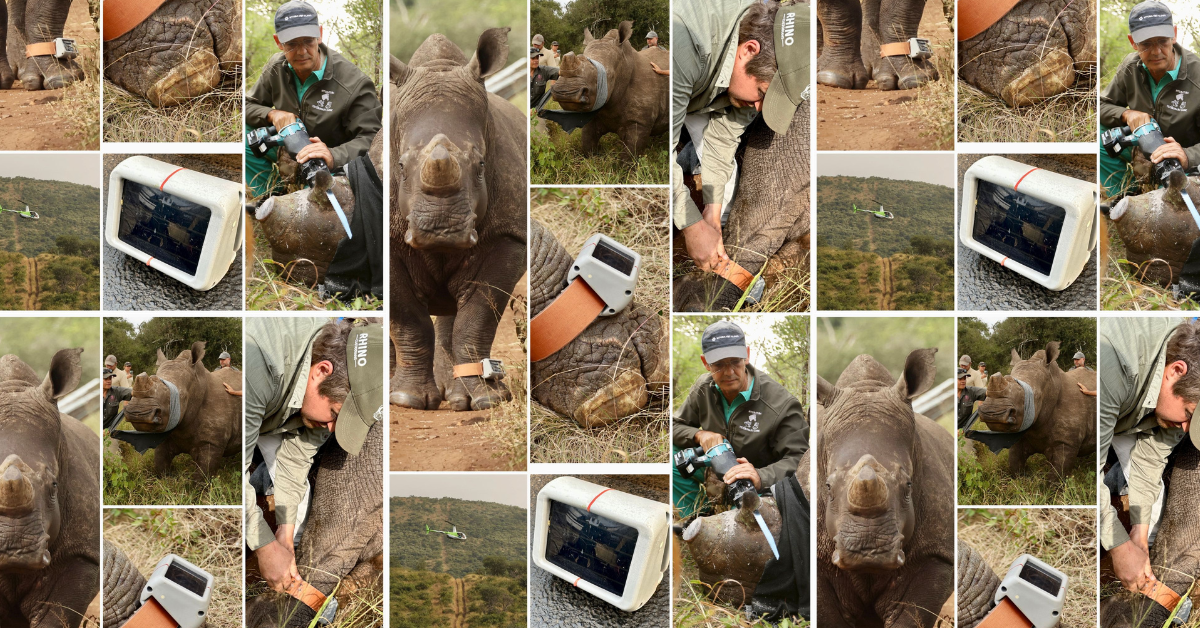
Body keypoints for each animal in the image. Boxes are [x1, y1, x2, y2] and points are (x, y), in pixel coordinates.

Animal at [119, 341, 241, 483]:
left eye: (180, 396)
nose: (138, 413)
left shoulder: (212, 443)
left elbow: (202, 476)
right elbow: (160, 465)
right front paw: (165, 481)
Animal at [389, 28, 527, 412]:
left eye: (480, 165)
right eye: (401, 166)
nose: (441, 230)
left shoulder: (510, 235)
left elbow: (477, 315)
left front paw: (487, 400)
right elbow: (407, 319)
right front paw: (406, 400)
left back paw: (455, 396)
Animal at [549, 20, 669, 157]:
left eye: (607, 75)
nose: (565, 93)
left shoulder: (639, 123)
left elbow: (630, 155)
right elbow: (587, 144)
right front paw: (591, 158)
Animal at [973, 342, 1096, 478]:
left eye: (1034, 396)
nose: (992, 413)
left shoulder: (1067, 443)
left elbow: (1057, 475)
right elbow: (1015, 464)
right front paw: (1020, 479)